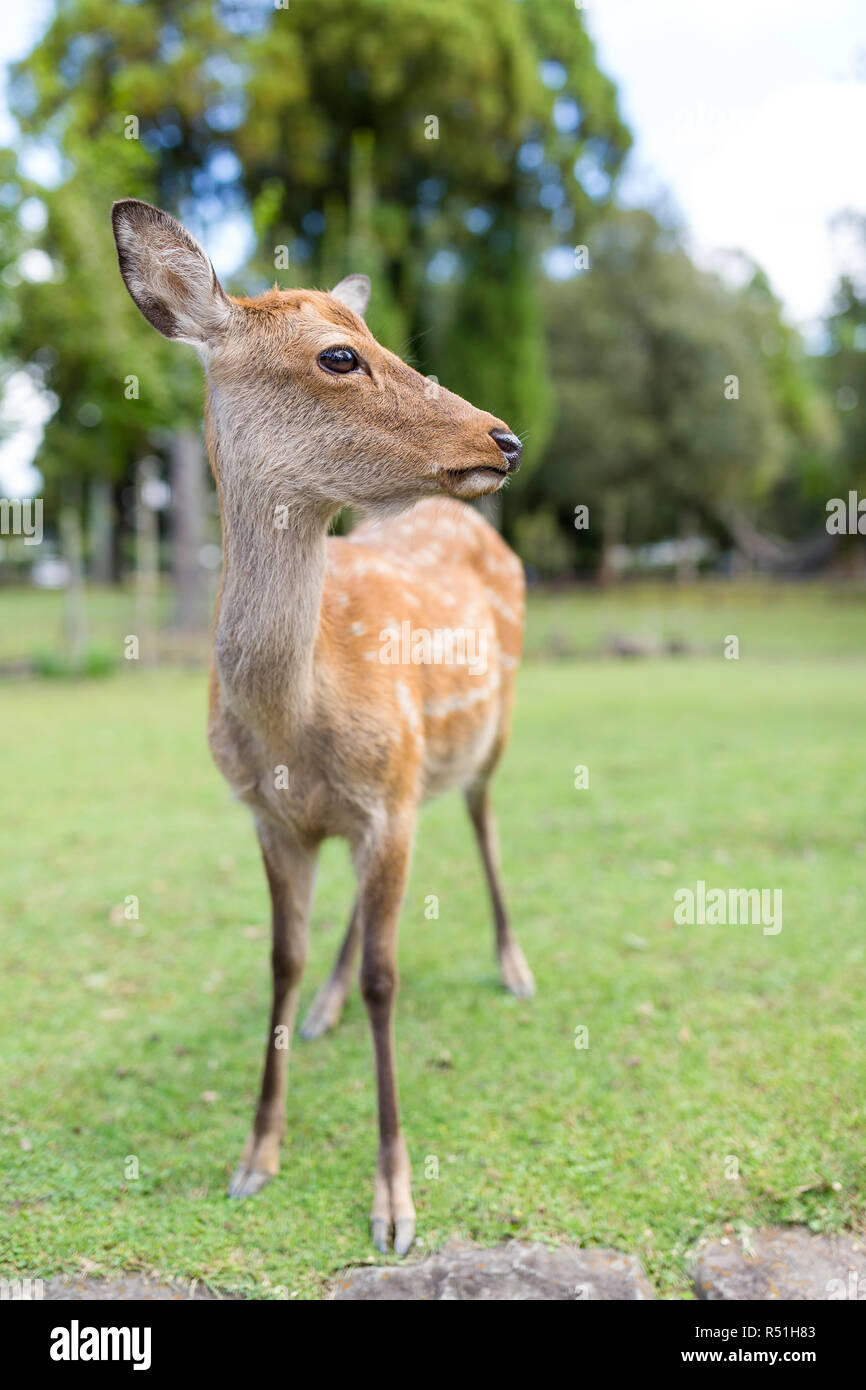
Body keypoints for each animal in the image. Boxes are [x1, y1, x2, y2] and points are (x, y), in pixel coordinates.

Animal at [111, 198, 534, 1256]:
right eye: (340, 356)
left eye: (385, 343)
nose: (505, 439)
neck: (293, 729)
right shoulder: (274, 817)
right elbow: (281, 962)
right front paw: (256, 1157)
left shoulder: (391, 800)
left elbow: (391, 977)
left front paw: (394, 1201)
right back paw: (328, 1009)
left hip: (487, 734)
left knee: (483, 815)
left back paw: (513, 966)